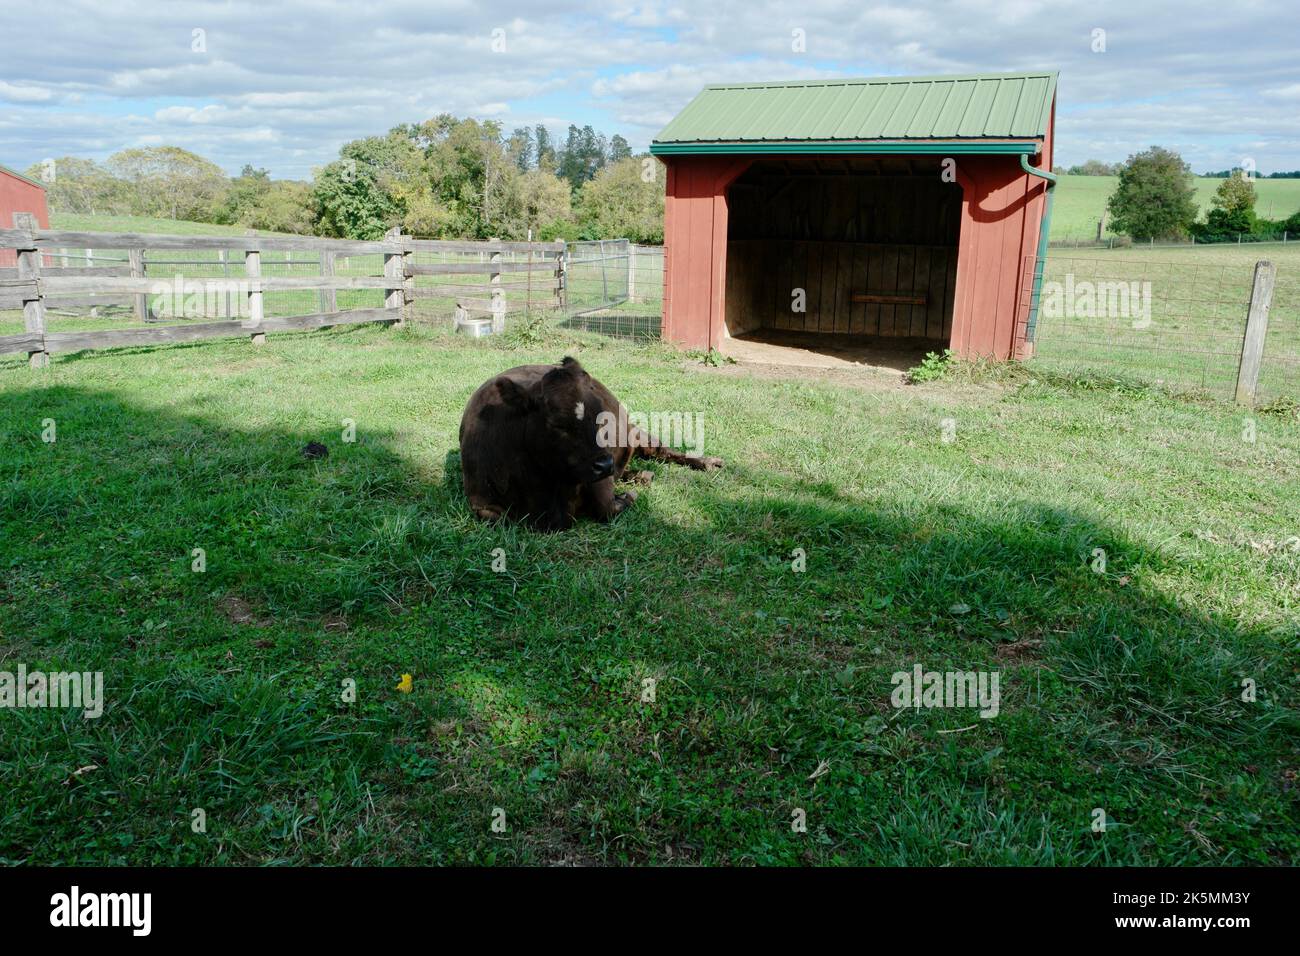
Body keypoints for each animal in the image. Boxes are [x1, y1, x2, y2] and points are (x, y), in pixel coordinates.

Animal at [458, 357, 722, 530]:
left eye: (602, 417)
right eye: (557, 424)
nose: (605, 464)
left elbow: (607, 508)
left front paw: (627, 497)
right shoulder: (479, 500)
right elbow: (496, 517)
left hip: (634, 432)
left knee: (664, 450)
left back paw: (708, 462)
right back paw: (641, 475)